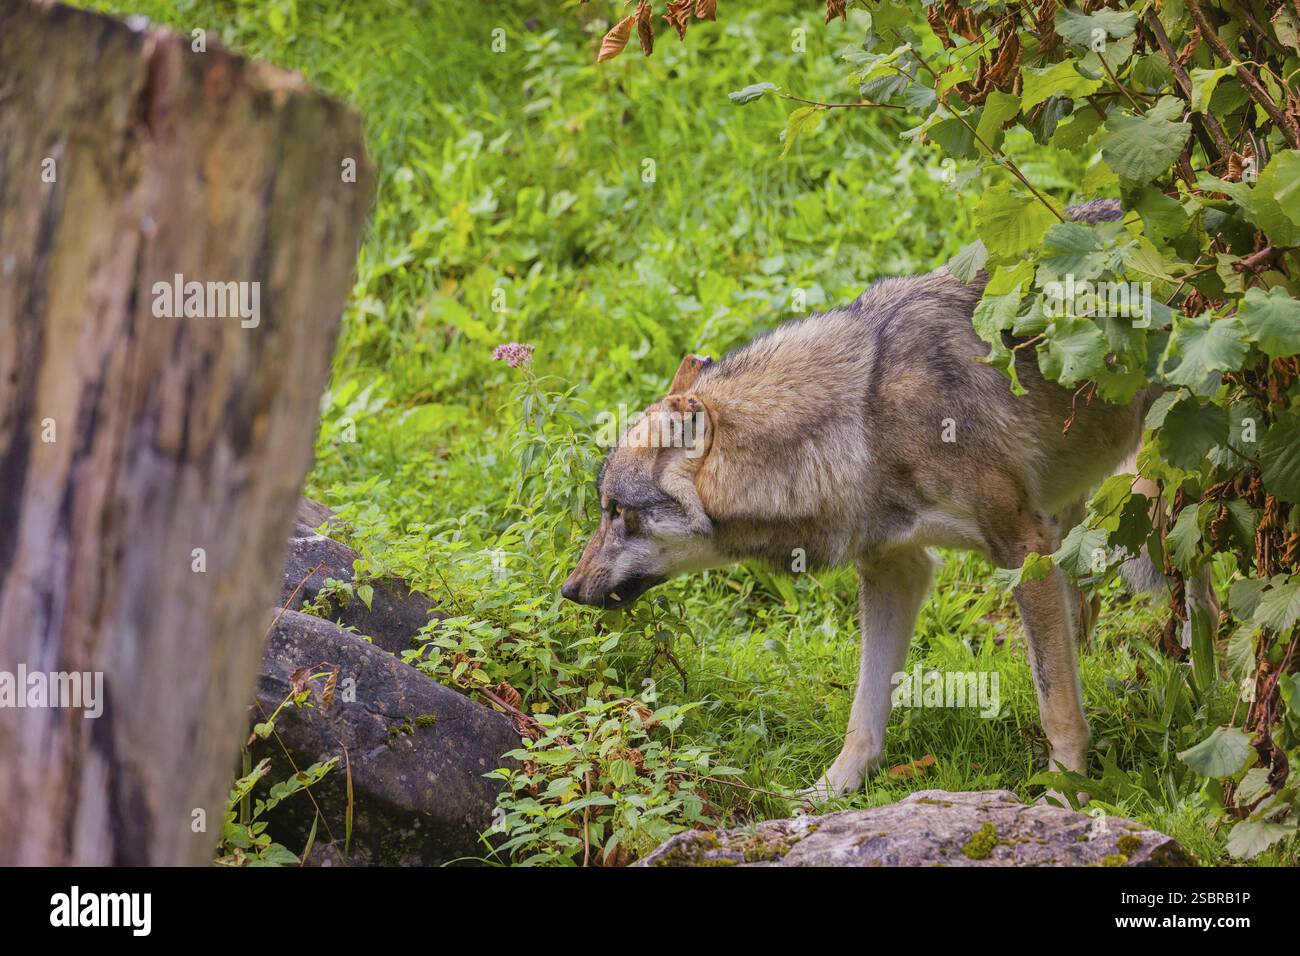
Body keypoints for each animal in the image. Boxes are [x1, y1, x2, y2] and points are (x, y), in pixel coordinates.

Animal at [561, 264, 1169, 798]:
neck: (861, 417)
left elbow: (1055, 702)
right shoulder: (895, 569)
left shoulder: (1023, 548)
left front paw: (1066, 793)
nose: (568, 589)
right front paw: (831, 791)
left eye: (617, 510)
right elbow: (864, 707)